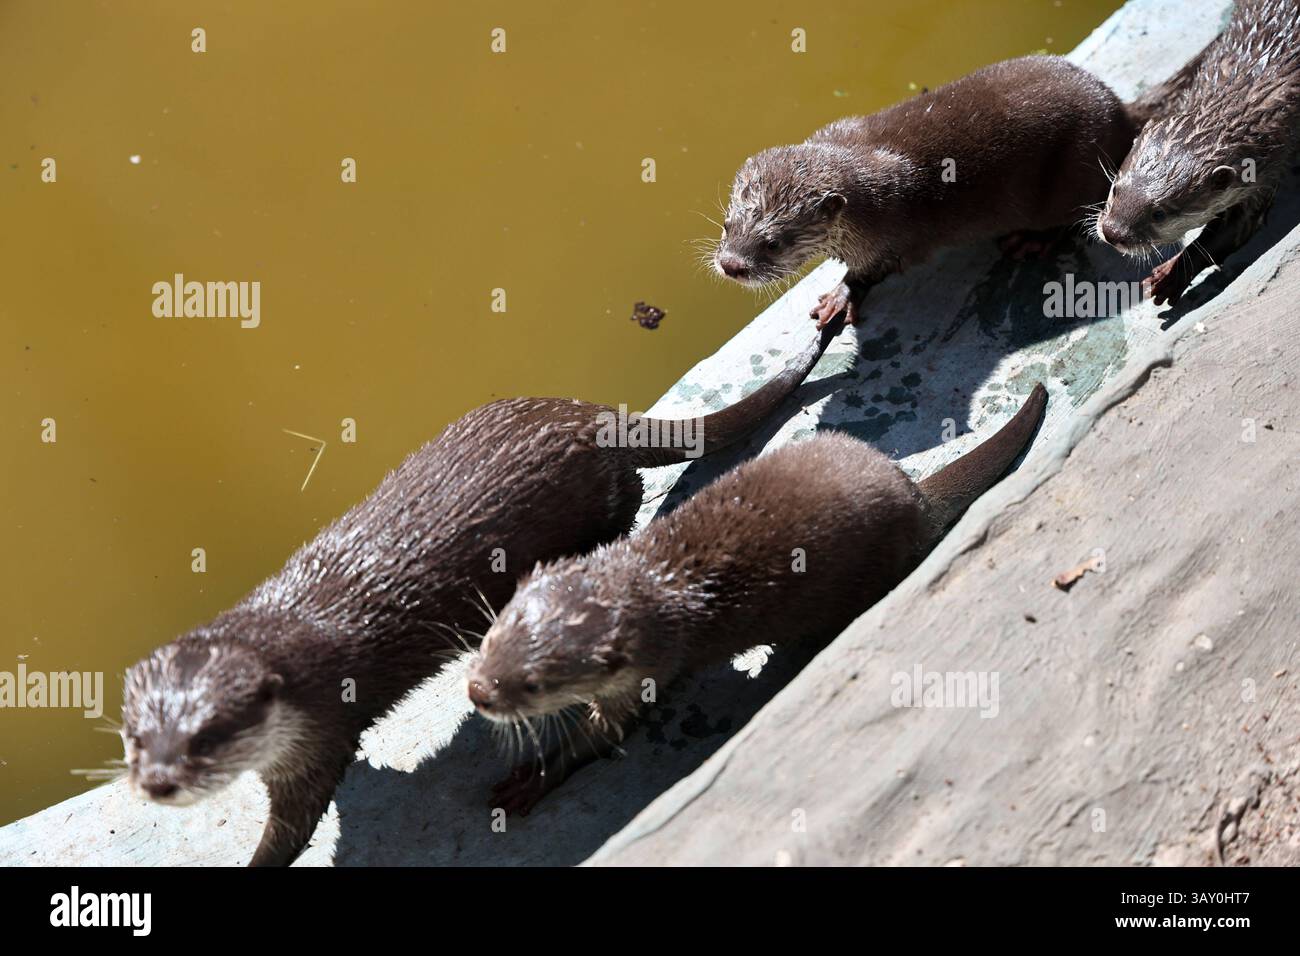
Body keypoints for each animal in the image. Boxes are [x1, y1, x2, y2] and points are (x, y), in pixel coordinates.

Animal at [120, 316, 843, 866]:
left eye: (208, 737)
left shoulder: (321, 737)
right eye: (135, 736)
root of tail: (588, 416)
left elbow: (292, 830)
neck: (288, 625)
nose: (156, 782)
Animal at [466, 383, 1048, 814]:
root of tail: (916, 498)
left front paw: (533, 778)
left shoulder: (646, 671)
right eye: (491, 639)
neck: (646, 579)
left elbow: (597, 737)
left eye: (534, 684)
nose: (476, 691)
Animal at [711, 55, 1137, 328]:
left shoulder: (890, 237)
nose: (731, 265)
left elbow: (868, 271)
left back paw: (1031, 240)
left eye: (774, 243)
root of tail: (1121, 115)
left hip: (1073, 171)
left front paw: (841, 295)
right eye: (727, 226)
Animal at [1097, 0, 1300, 304]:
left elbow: (1234, 229)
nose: (1112, 232)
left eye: (1159, 214)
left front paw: (1171, 275)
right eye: (1114, 190)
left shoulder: (1268, 165)